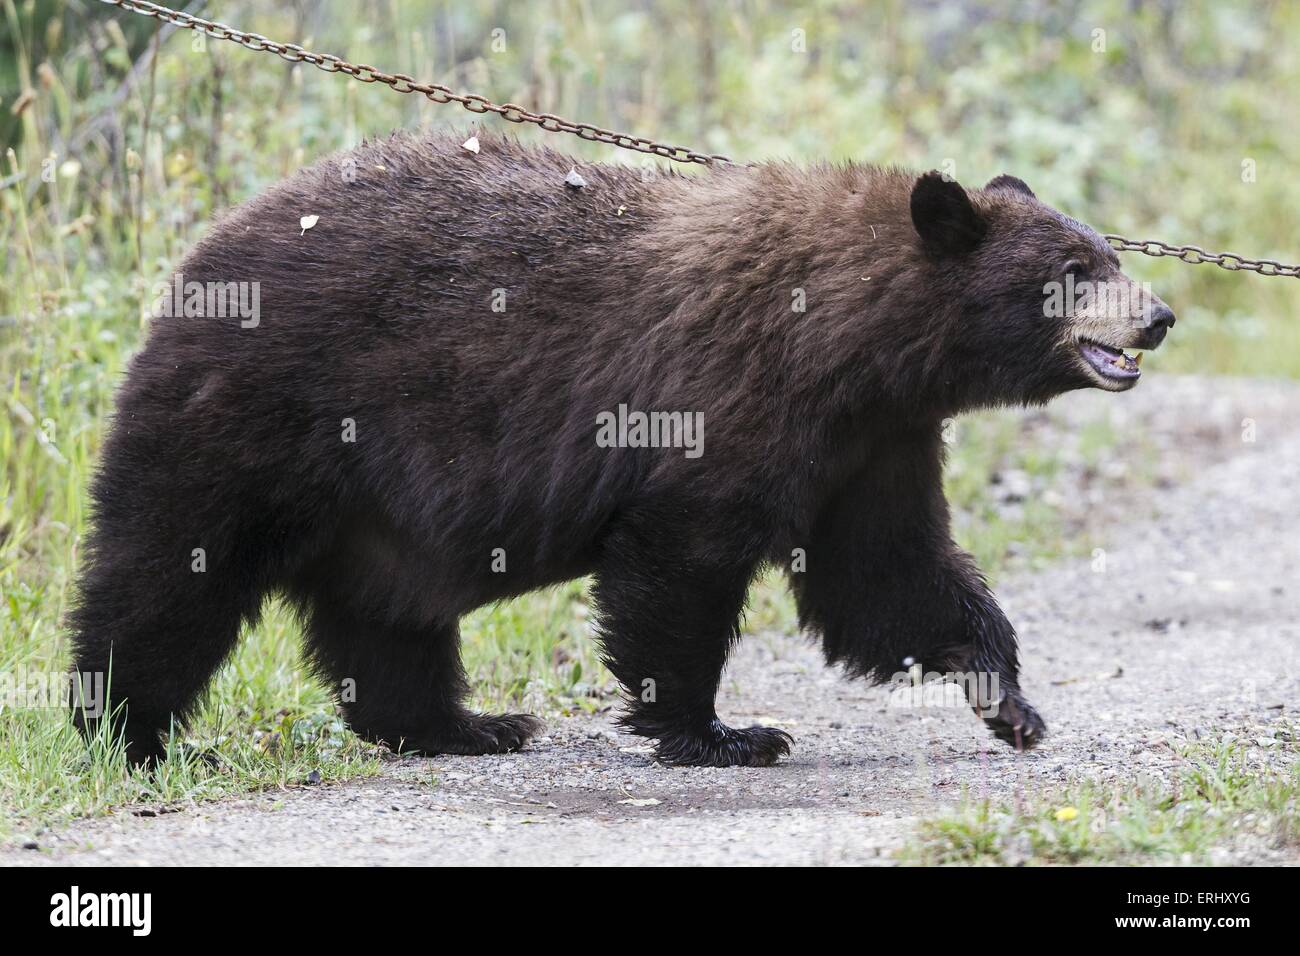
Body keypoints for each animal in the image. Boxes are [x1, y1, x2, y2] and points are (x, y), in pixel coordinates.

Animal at [69, 130, 1175, 768]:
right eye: (1076, 269)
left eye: (1107, 253)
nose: (1159, 315)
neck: (849, 346)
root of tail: (199, 262)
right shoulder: (728, 395)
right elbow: (683, 559)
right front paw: (722, 730)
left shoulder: (871, 442)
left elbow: (885, 570)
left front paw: (1009, 699)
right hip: (259, 413)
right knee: (171, 568)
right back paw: (128, 732)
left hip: (367, 502)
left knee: (386, 613)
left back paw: (466, 725)